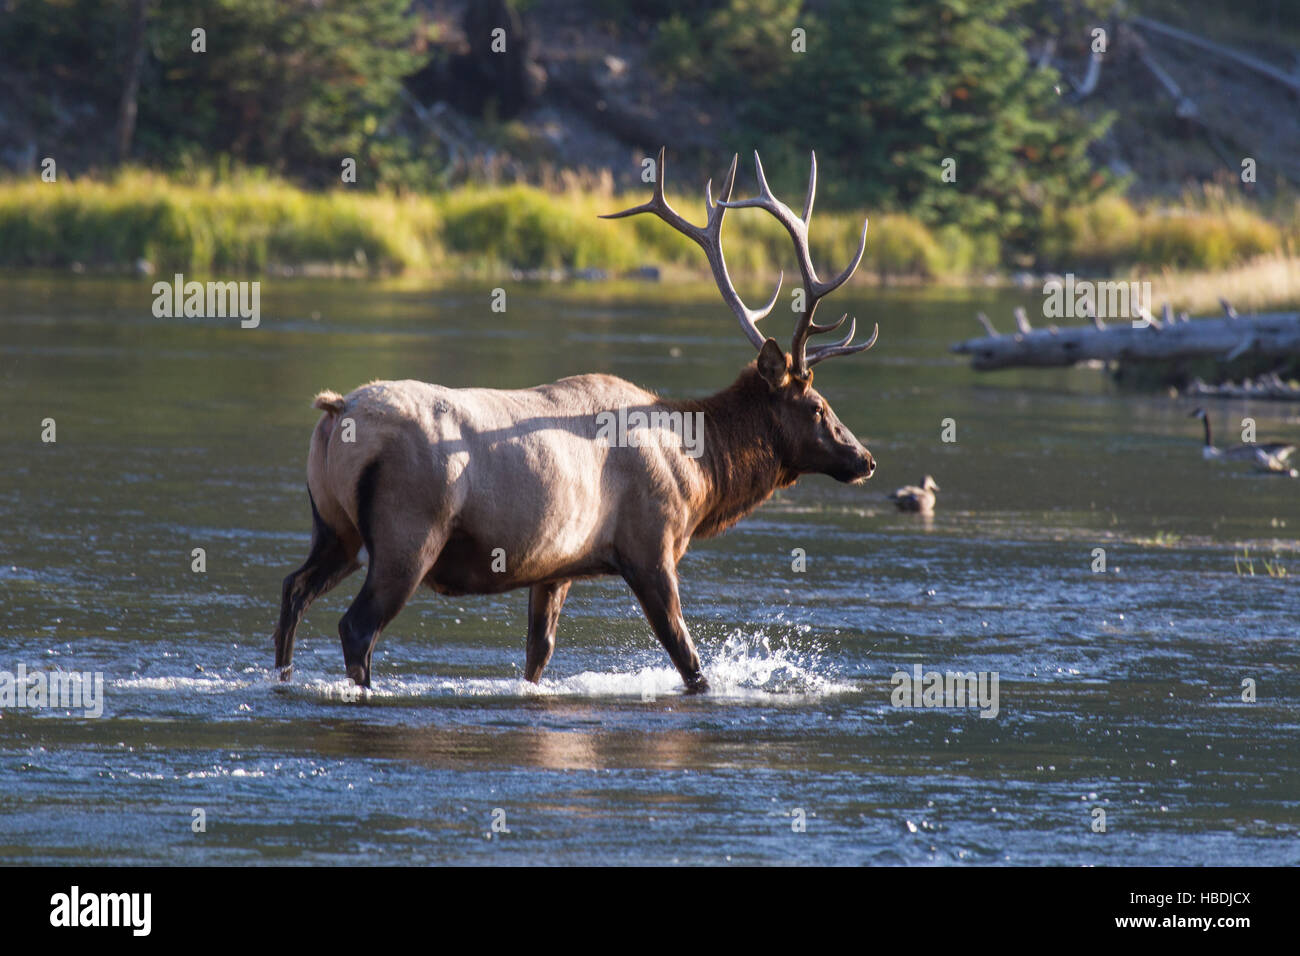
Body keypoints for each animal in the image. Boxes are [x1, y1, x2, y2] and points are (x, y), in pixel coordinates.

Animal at [271, 149, 878, 693]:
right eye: (818, 407)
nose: (866, 459)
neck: (700, 475)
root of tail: (336, 412)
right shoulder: (650, 546)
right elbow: (688, 661)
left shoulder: (555, 567)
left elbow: (537, 657)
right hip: (408, 534)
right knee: (357, 627)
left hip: (336, 529)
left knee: (292, 589)